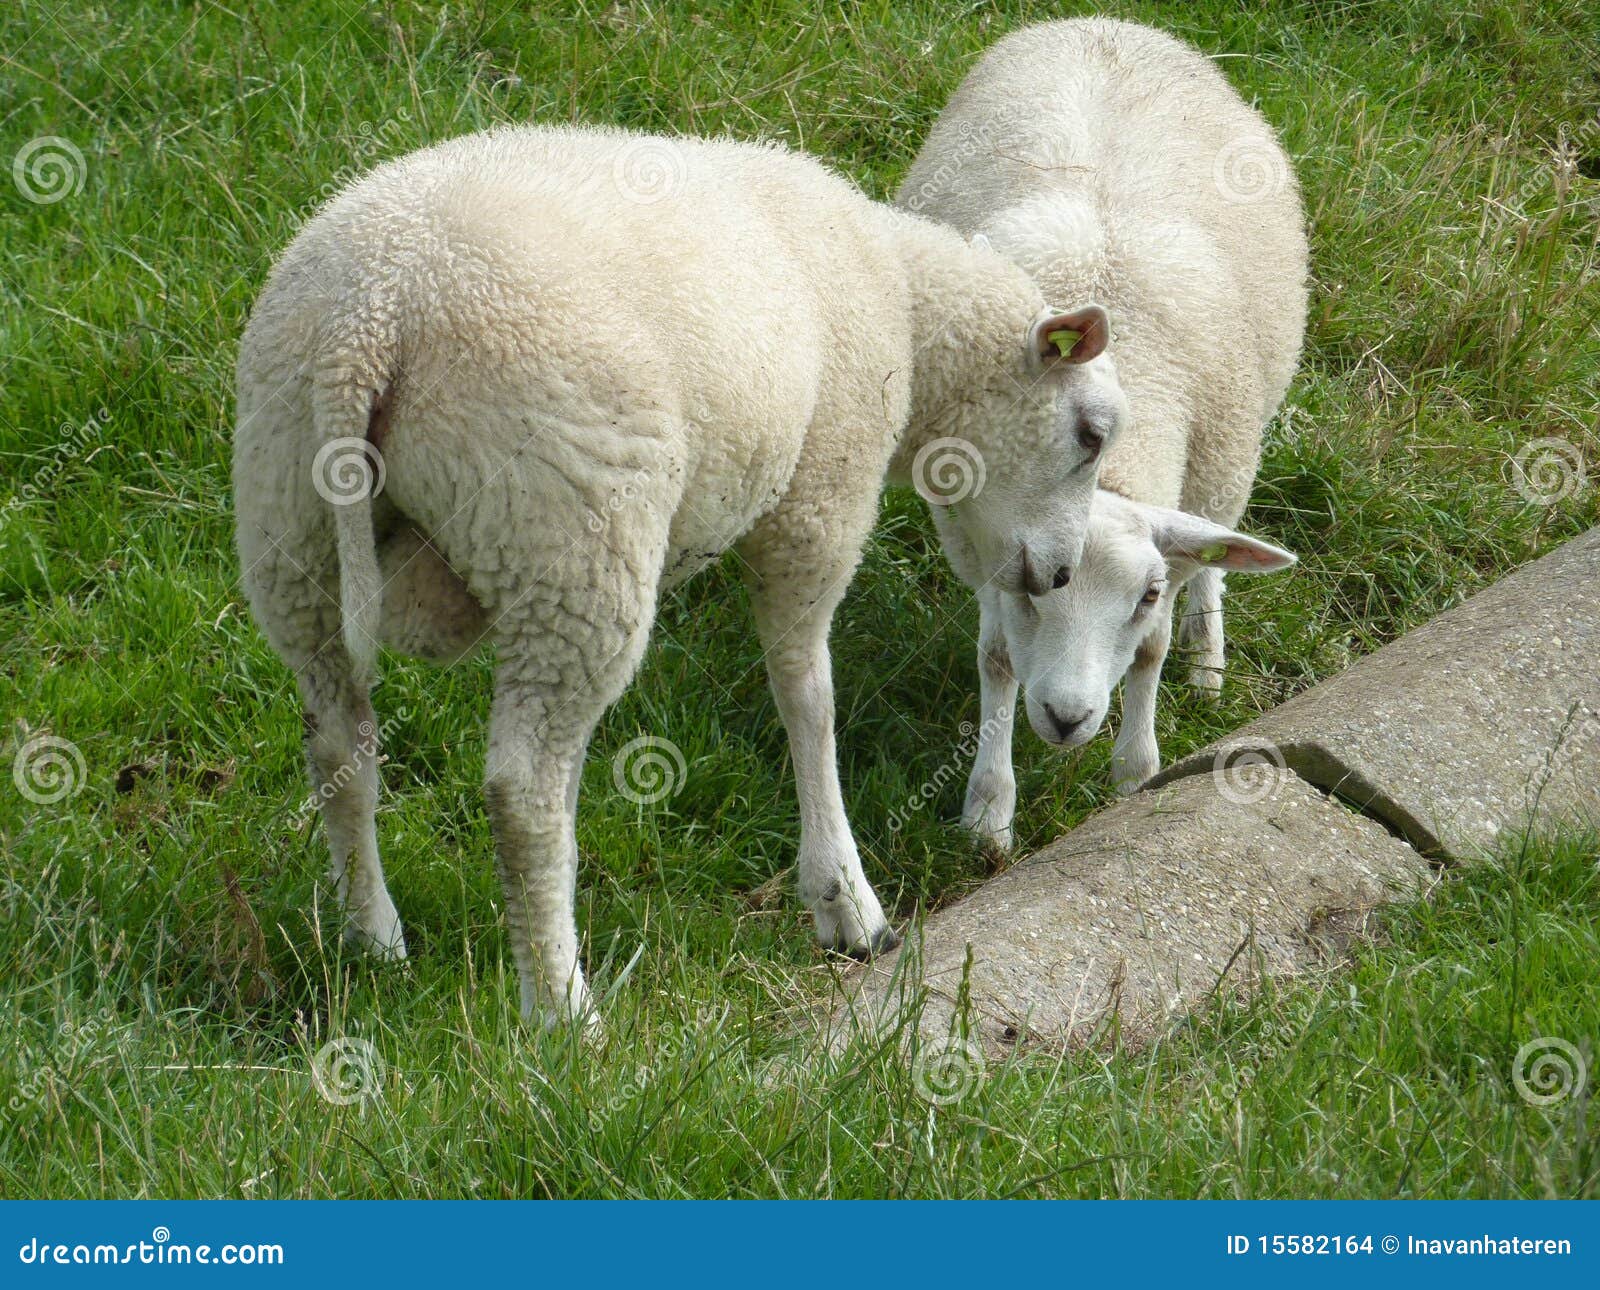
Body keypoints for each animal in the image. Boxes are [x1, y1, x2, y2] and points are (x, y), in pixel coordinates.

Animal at [234, 123, 1127, 1027]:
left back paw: (375, 940)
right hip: (572, 537)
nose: (1058, 575)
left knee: (340, 747)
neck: (908, 312)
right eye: (1091, 435)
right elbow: (807, 693)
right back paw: (561, 1009)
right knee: (522, 791)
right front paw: (844, 899)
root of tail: (372, 316)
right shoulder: (819, 498)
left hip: (289, 524)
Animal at [898, 17, 1308, 846]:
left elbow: (1151, 647)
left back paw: (1208, 658)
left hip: (1228, 465)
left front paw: (1135, 772)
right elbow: (996, 659)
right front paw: (988, 810)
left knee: (1215, 553)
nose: (1065, 717)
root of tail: (1104, 25)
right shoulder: (987, 546)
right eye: (1039, 599)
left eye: (1144, 594)